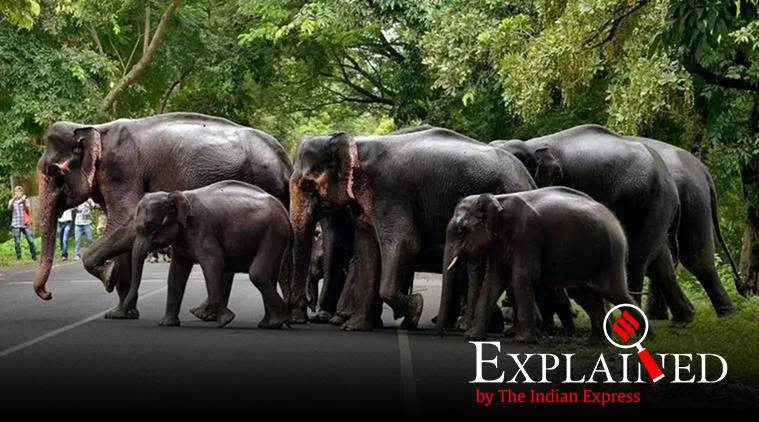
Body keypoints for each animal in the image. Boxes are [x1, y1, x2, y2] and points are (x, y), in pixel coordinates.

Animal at [126, 181, 291, 328]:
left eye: (151, 227)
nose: (131, 313)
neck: (176, 194)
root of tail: (283, 209)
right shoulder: (182, 239)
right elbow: (175, 274)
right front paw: (166, 324)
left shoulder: (201, 228)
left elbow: (214, 262)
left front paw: (225, 320)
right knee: (269, 276)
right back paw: (270, 324)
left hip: (274, 232)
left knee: (258, 274)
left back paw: (281, 318)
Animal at [289, 127, 536, 331]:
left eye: (307, 184)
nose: (300, 319)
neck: (356, 143)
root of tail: (528, 178)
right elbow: (366, 250)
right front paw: (355, 327)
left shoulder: (390, 192)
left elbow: (405, 242)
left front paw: (415, 309)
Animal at [440, 189, 636, 342]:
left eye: (460, 230)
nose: (442, 333)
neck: (497, 198)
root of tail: (614, 220)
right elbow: (494, 279)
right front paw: (472, 337)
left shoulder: (528, 235)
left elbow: (522, 277)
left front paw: (523, 340)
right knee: (585, 294)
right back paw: (594, 342)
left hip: (612, 253)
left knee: (612, 292)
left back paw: (639, 339)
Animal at [492, 124, 695, 323]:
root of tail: (671, 185)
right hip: (657, 211)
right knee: (661, 260)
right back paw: (685, 317)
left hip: (645, 204)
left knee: (635, 263)